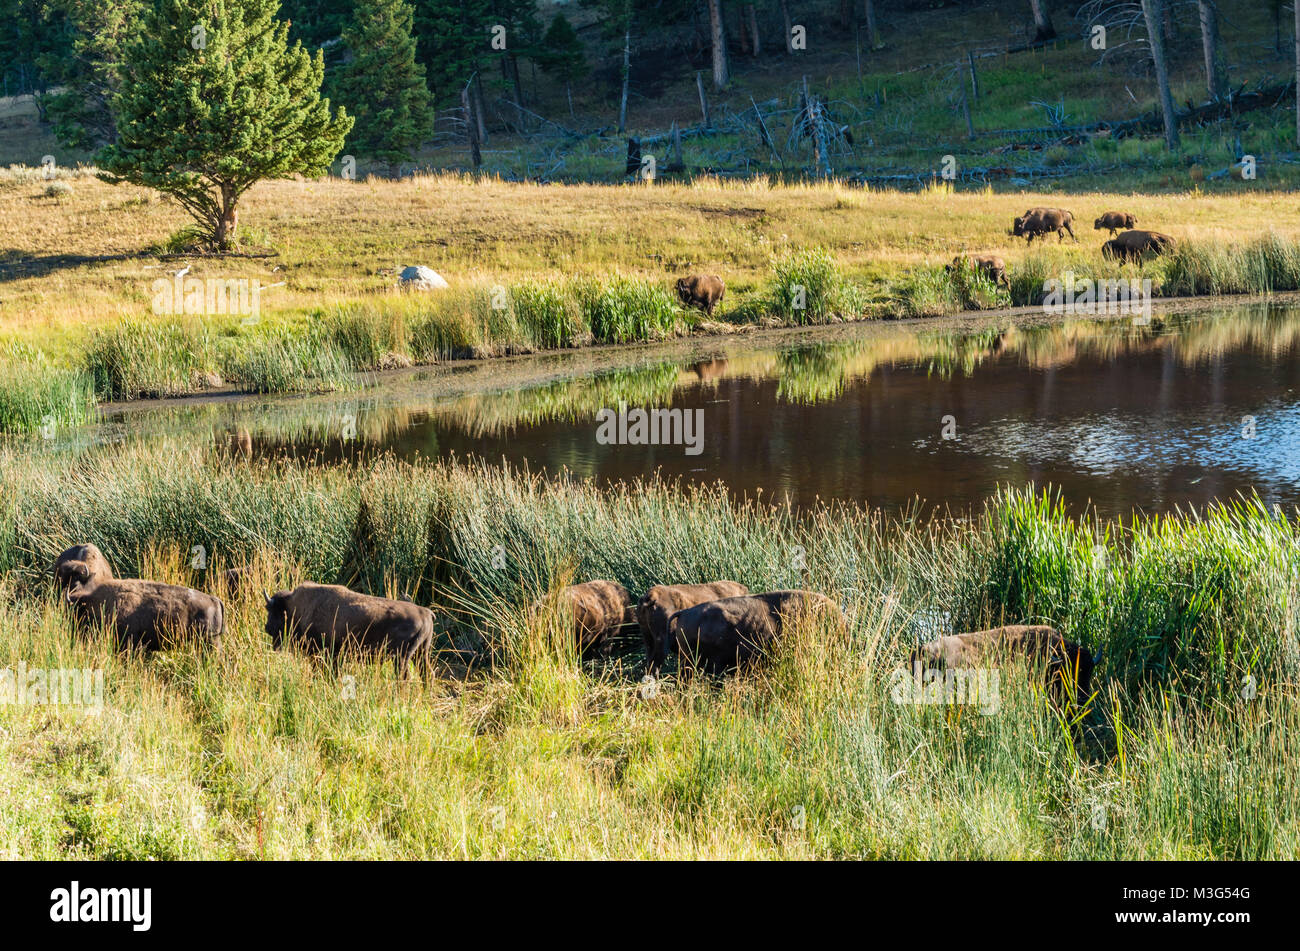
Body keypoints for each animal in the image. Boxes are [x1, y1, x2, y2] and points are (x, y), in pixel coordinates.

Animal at [264, 582, 435, 678]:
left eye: (272, 611)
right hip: (421, 653)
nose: (267, 628)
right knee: (428, 674)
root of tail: (426, 612)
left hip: (402, 658)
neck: (296, 608)